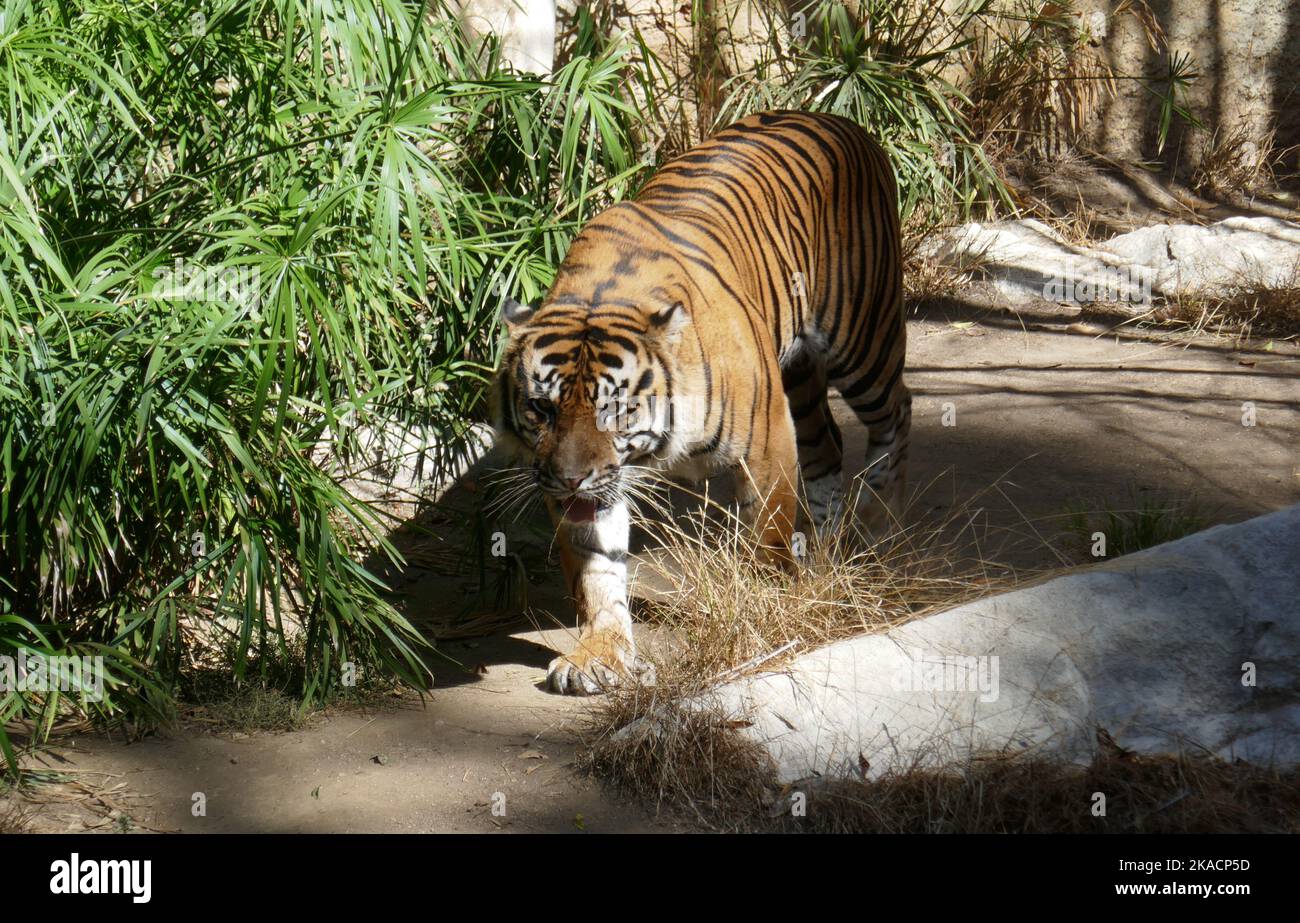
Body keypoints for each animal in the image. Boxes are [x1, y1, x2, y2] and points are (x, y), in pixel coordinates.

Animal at [492, 110, 911, 695]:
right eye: (542, 409)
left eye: (613, 409)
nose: (571, 479)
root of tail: (840, 120)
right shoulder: (586, 483)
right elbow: (597, 568)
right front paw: (600, 655)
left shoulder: (766, 438)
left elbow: (768, 531)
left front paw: (768, 611)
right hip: (803, 381)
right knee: (829, 447)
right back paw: (825, 554)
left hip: (862, 341)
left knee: (898, 413)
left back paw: (876, 536)